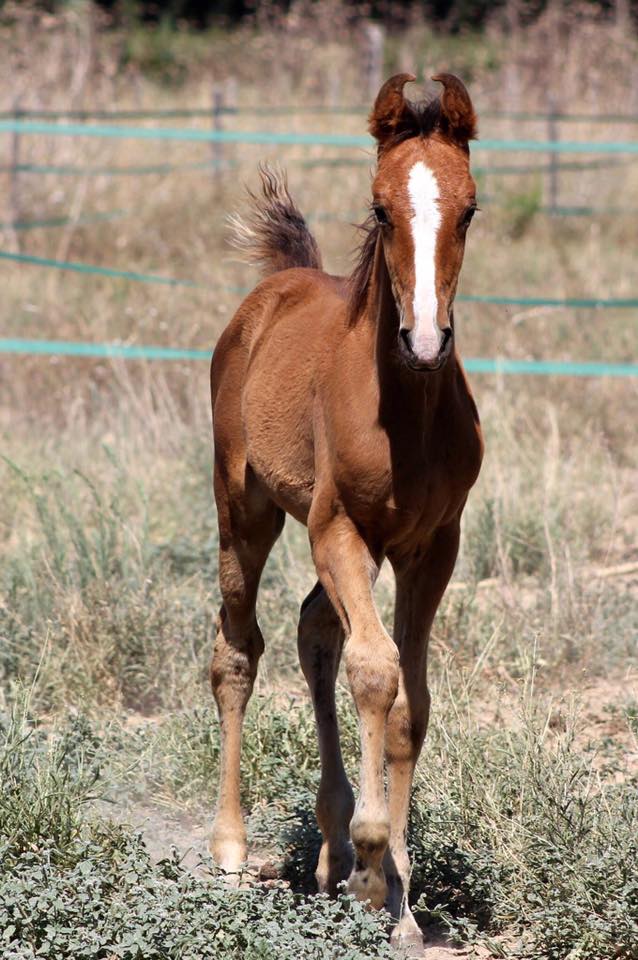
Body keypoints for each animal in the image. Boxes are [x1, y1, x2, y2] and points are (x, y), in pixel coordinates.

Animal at [209, 72, 483, 949]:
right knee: (238, 652)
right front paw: (370, 871)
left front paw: (398, 897)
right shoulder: (340, 528)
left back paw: (328, 853)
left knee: (311, 629)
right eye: (380, 207)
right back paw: (232, 852)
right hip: (246, 510)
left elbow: (410, 704)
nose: (425, 340)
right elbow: (374, 670)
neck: (409, 412)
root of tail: (279, 285)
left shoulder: (434, 546)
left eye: (470, 208)